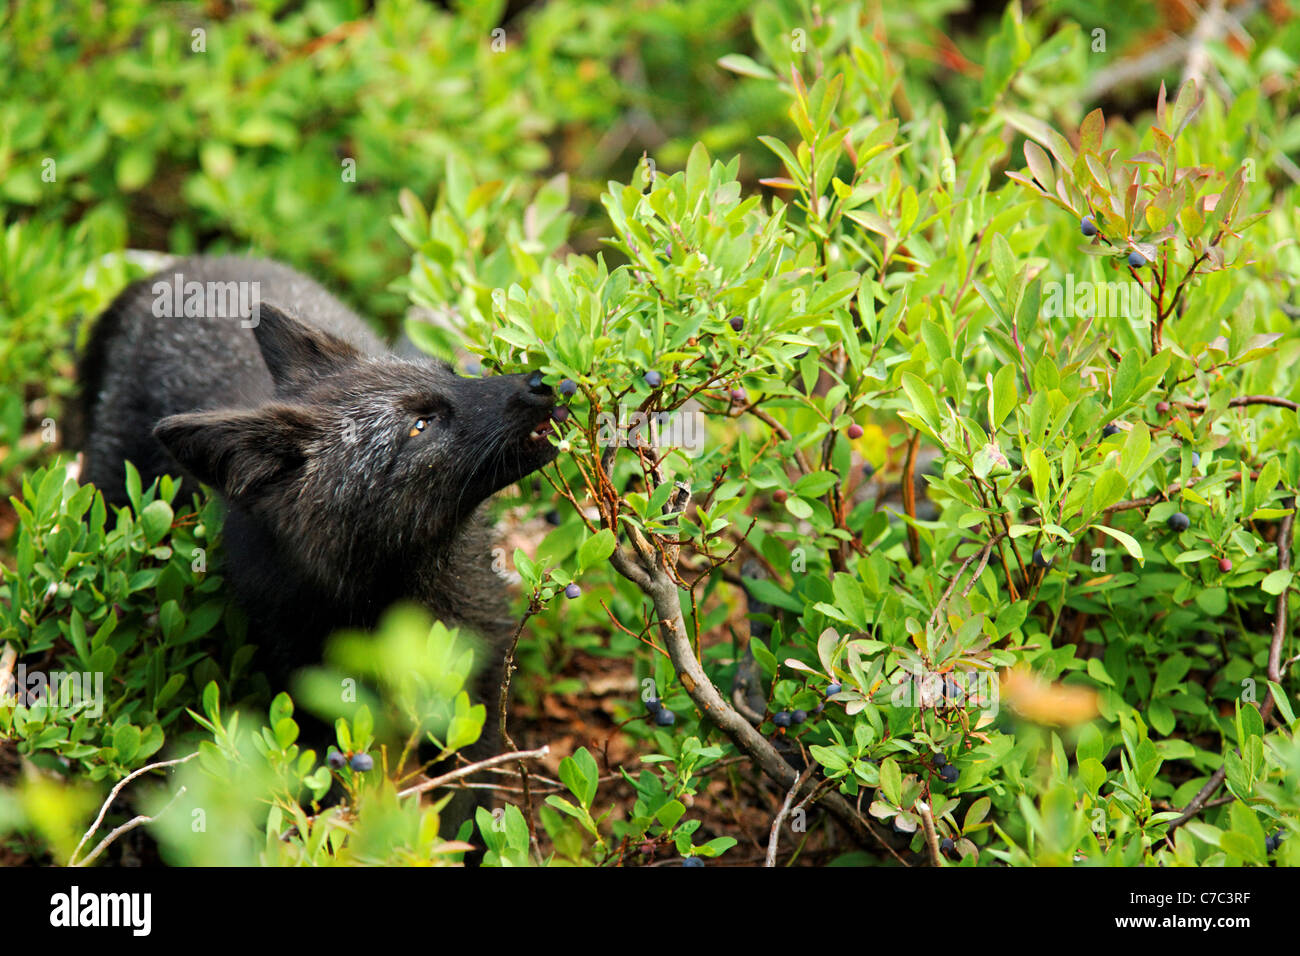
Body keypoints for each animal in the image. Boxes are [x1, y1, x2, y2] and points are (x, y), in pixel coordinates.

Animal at [76, 255, 559, 831]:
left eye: (450, 372)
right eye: (420, 425)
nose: (543, 381)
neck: (384, 594)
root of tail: (163, 273)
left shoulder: (473, 676)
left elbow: (467, 812)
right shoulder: (315, 699)